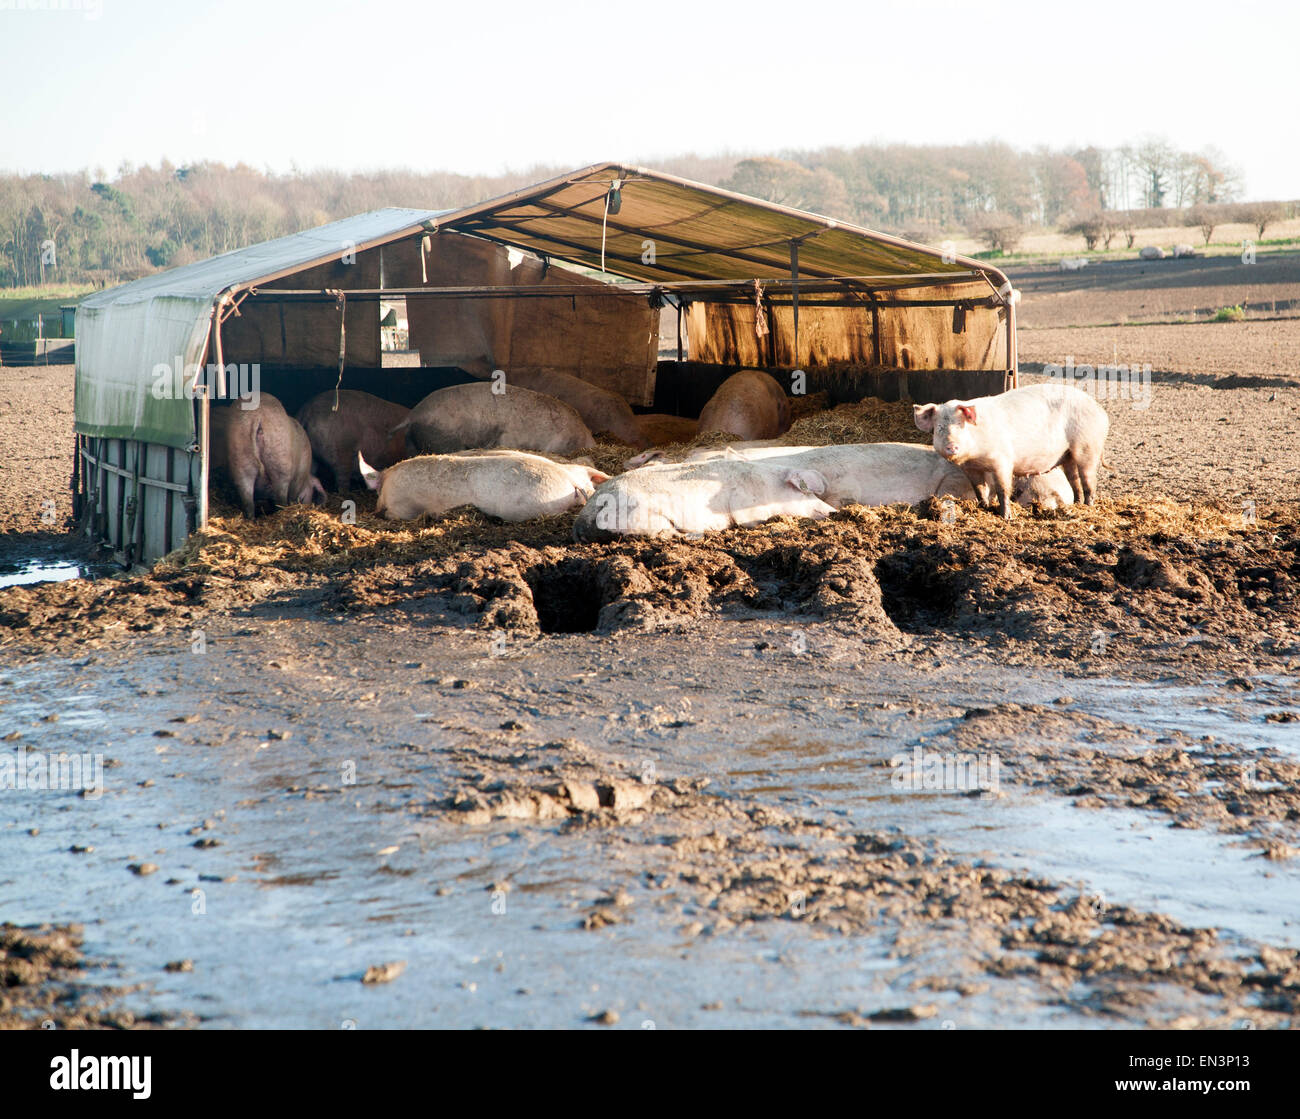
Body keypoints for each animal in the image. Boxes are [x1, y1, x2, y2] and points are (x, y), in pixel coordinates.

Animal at [572, 459, 836, 541]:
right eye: (806, 492)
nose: (833, 511)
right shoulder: (744, 507)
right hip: (642, 518)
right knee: (666, 534)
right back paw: (699, 534)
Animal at [913, 383, 1109, 518]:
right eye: (939, 428)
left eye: (961, 425)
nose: (952, 445)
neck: (976, 456)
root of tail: (1101, 411)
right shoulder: (970, 468)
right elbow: (979, 490)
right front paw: (983, 508)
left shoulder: (1002, 460)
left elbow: (1002, 489)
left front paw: (1005, 517)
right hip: (1068, 455)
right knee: (1074, 480)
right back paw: (1075, 505)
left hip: (1088, 447)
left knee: (1089, 482)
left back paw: (1088, 507)